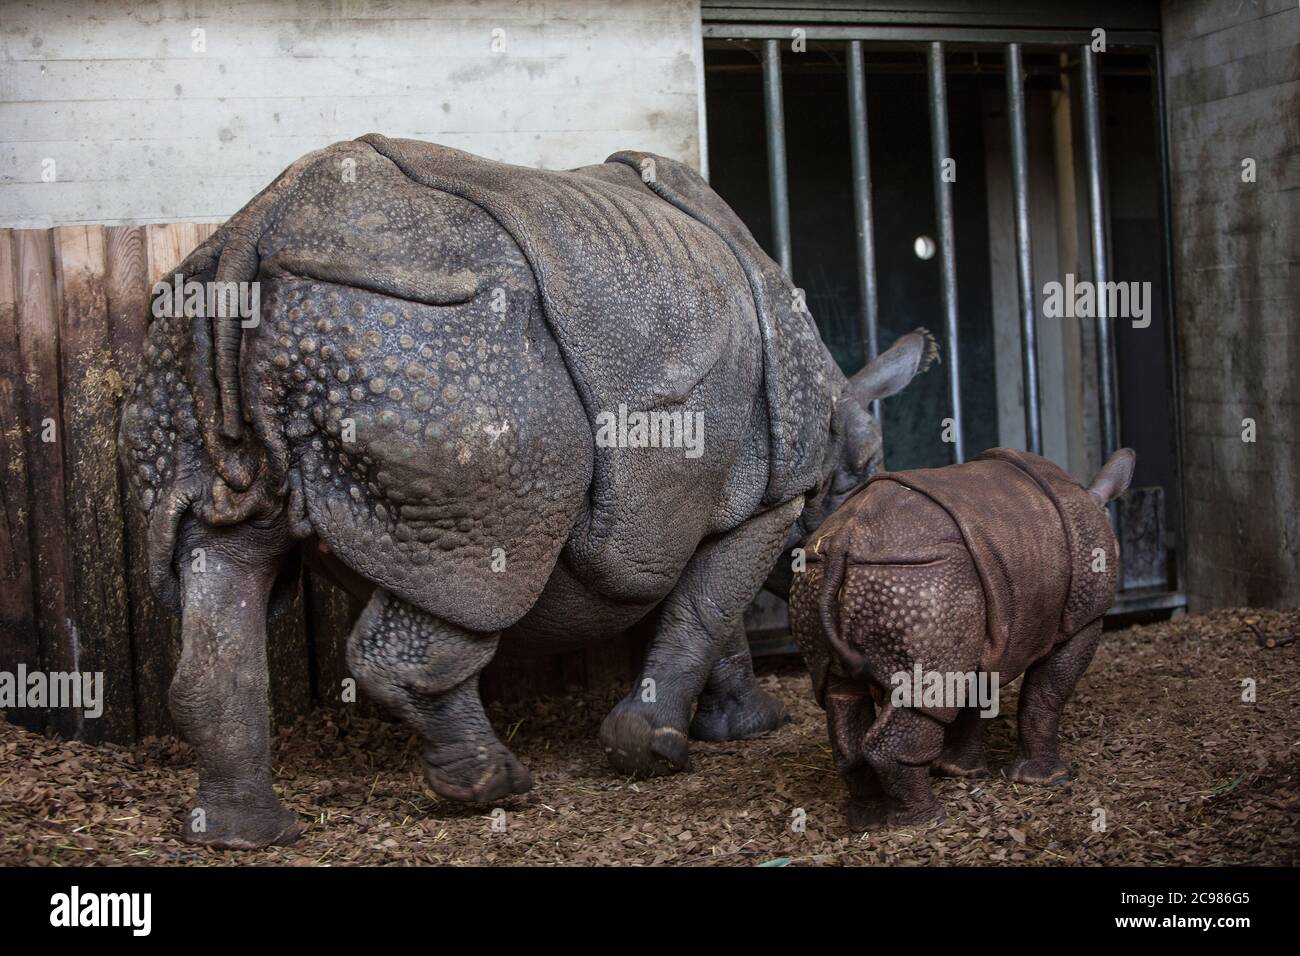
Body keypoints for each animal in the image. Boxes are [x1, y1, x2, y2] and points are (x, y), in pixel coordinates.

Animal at [118, 135, 934, 848]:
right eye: (864, 472)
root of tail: (255, 230)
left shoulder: (697, 497)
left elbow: (708, 609)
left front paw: (736, 727)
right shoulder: (773, 493)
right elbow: (709, 606)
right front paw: (657, 748)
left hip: (206, 336)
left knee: (223, 560)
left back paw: (245, 835)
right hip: (443, 347)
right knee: (478, 564)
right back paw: (494, 789)